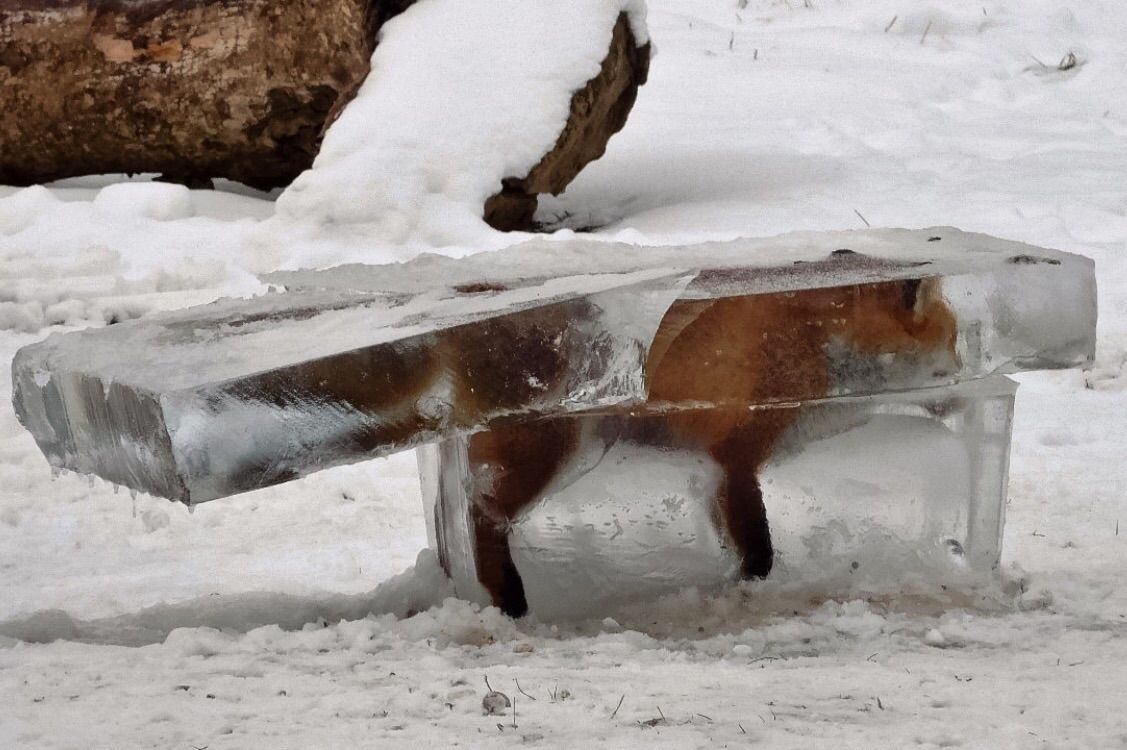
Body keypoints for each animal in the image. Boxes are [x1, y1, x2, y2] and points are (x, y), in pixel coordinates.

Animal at [461, 269, 960, 617]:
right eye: (954, 344)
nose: (962, 385)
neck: (820, 341)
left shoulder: (715, 471)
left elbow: (731, 537)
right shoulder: (737, 456)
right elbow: (759, 549)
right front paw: (750, 590)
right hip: (556, 453)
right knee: (482, 511)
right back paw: (508, 596)